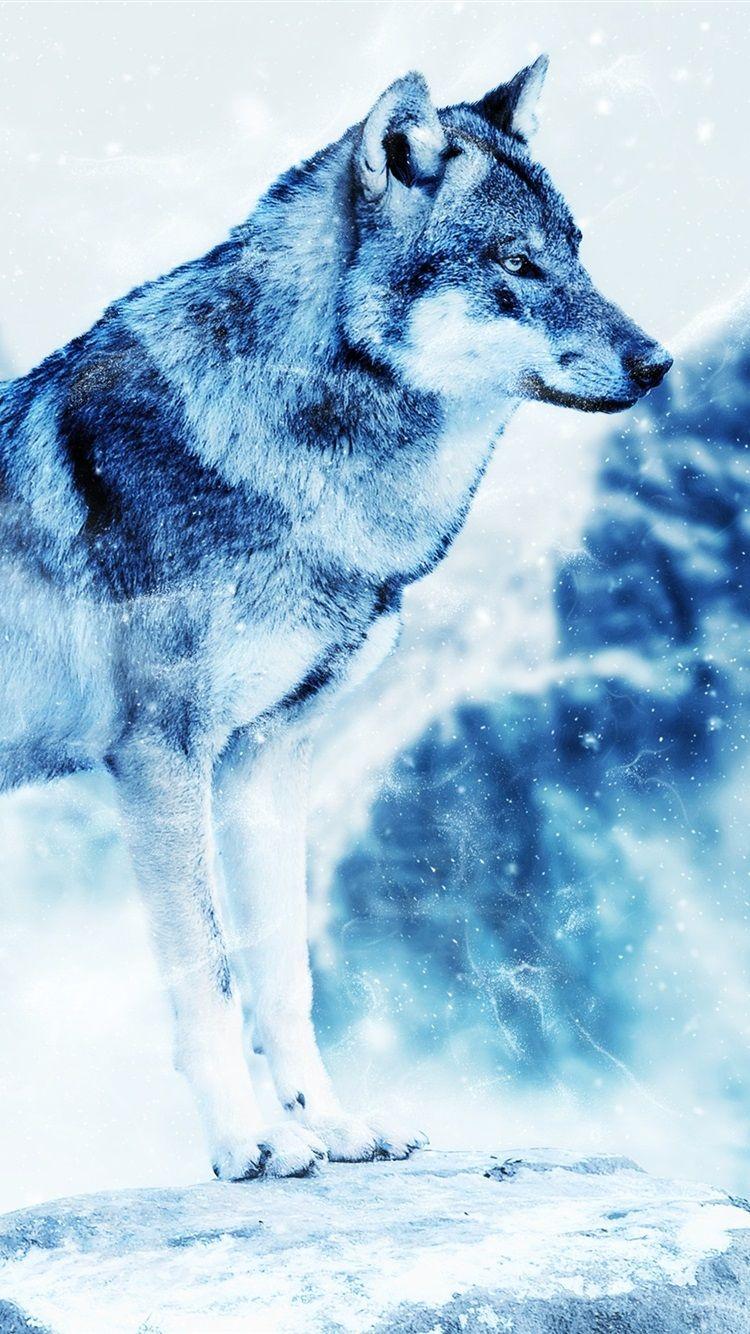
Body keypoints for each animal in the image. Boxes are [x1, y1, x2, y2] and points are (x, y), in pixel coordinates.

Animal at [0, 56, 671, 1179]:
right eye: (518, 265)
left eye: (578, 253)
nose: (660, 362)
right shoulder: (161, 757)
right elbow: (210, 974)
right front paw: (248, 1141)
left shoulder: (267, 754)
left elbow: (286, 973)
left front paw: (332, 1123)